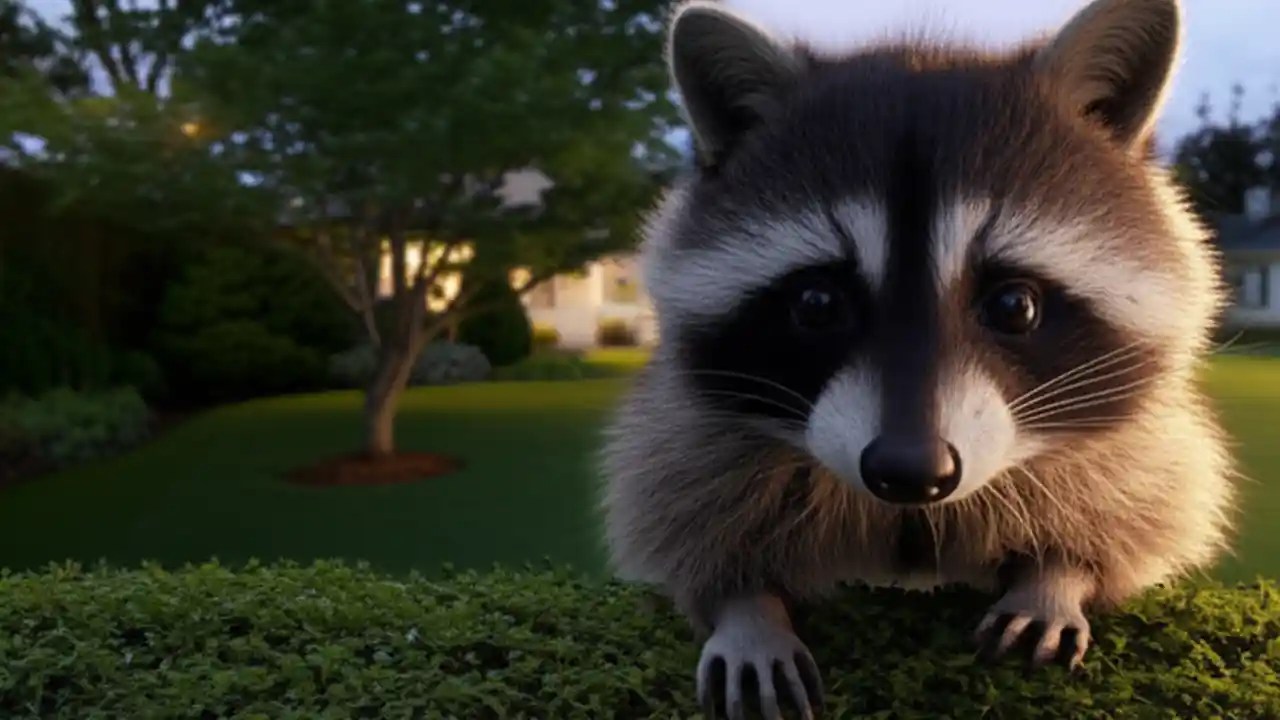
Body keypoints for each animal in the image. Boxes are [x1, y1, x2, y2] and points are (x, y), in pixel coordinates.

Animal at [599, 0, 1238, 716]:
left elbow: (1146, 499)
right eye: (817, 303)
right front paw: (746, 608)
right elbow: (677, 499)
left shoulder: (1135, 439)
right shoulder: (689, 426)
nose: (909, 472)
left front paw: (1057, 576)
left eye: (1014, 305)